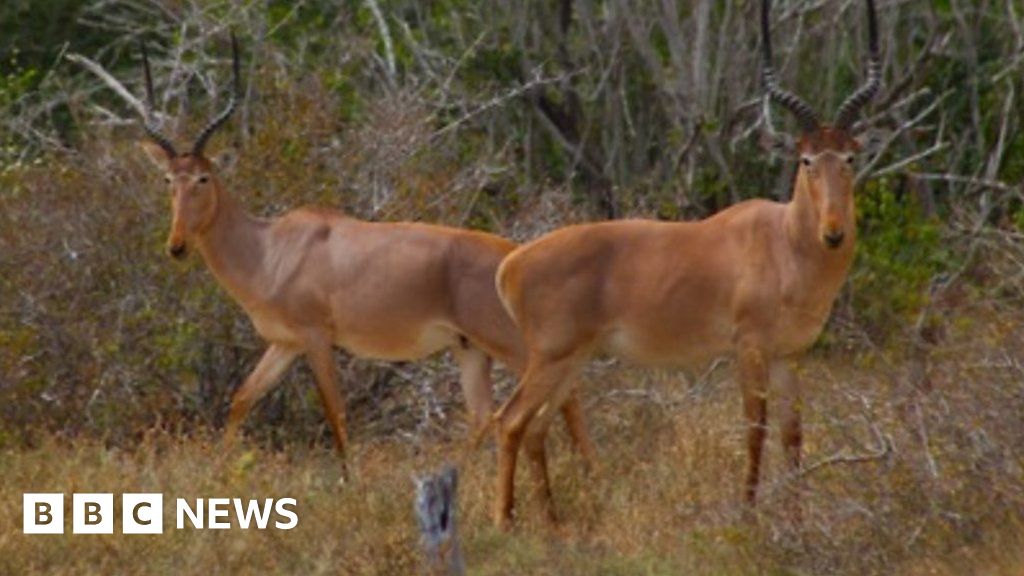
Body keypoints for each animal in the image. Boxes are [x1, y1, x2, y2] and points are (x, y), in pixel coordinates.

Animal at [135, 35, 595, 471]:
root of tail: (514, 256)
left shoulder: (317, 340)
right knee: (487, 415)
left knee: (565, 393)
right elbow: (242, 398)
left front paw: (348, 479)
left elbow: (336, 413)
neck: (272, 248)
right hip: (470, 349)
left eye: (203, 178)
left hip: (512, 344)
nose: (176, 246)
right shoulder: (285, 344)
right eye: (167, 179)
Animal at [488, 0, 883, 527]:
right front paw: (748, 514)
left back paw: (552, 525)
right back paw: (505, 523)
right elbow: (754, 428)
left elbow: (792, 435)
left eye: (849, 157)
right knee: (509, 421)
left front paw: (798, 521)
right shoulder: (749, 349)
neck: (782, 242)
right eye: (806, 160)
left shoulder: (788, 356)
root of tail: (511, 264)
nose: (834, 233)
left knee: (536, 428)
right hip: (551, 359)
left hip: (571, 361)